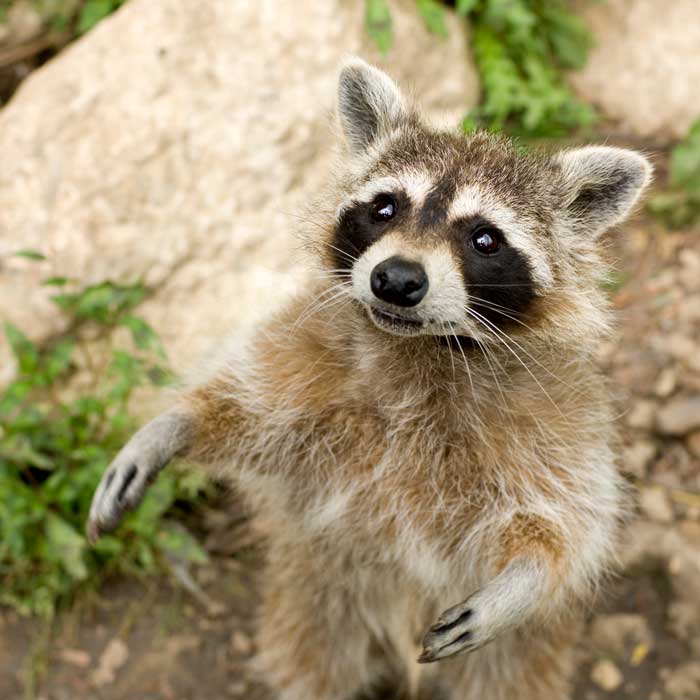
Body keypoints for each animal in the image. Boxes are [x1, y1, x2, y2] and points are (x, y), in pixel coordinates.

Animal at [88, 59, 651, 700]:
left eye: (484, 238)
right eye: (386, 208)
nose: (397, 279)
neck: (418, 347)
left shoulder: (553, 410)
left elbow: (566, 520)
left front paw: (526, 578)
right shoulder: (311, 352)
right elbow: (248, 404)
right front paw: (177, 423)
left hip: (512, 653)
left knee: (504, 679)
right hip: (316, 595)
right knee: (312, 664)